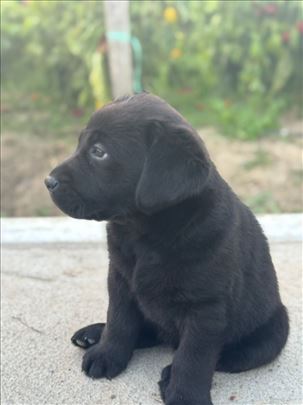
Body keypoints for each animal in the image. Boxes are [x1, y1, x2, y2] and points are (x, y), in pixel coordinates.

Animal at [45, 92, 290, 404]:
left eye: (99, 152)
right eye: (80, 144)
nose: (48, 181)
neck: (145, 234)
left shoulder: (206, 307)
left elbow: (194, 357)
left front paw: (185, 395)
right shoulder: (120, 279)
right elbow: (119, 320)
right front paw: (107, 353)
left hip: (272, 331)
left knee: (222, 355)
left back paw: (168, 372)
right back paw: (93, 334)